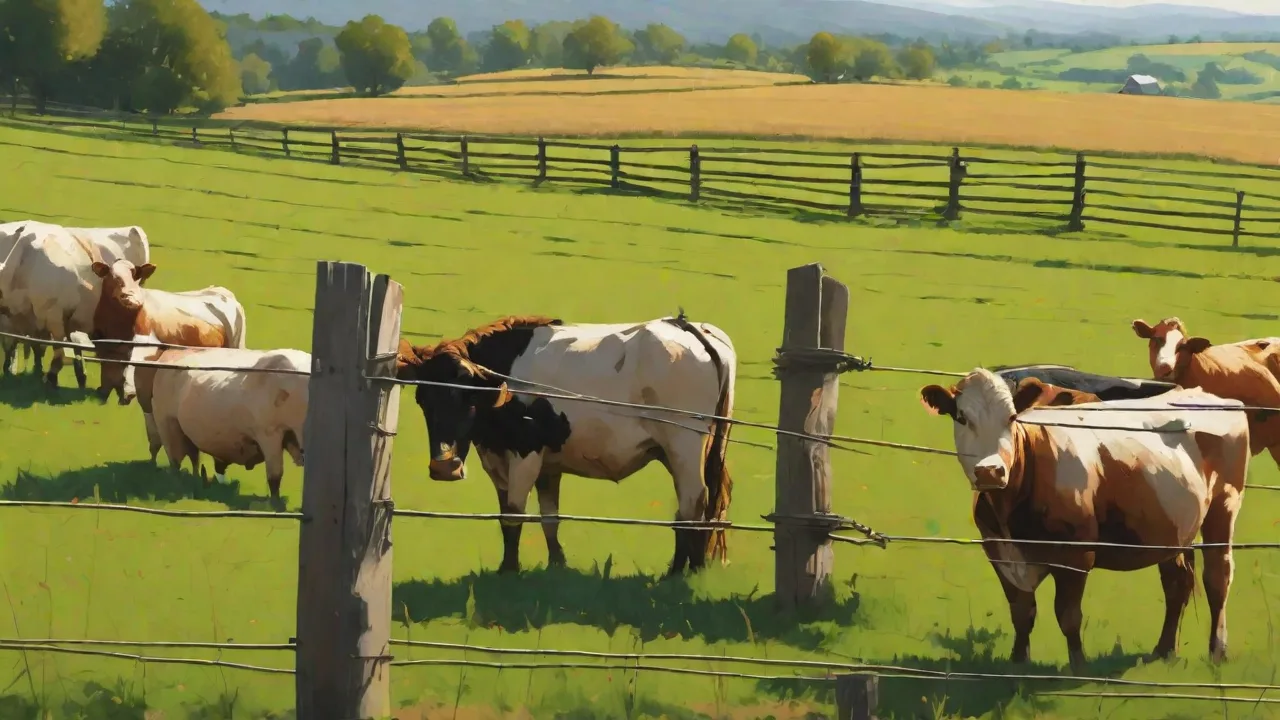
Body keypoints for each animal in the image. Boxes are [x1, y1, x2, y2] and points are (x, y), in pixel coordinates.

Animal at [137, 346, 310, 505]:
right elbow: (275, 476)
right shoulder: (269, 434)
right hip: (167, 425)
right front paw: (275, 506)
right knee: (175, 462)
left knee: (193, 459)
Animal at [394, 314, 736, 577]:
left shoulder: (526, 453)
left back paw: (678, 573)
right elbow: (547, 518)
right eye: (422, 399)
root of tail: (685, 326)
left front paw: (509, 571)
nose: (444, 466)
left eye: (469, 398)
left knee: (692, 503)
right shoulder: (528, 462)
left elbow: (513, 514)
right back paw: (695, 568)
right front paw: (555, 565)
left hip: (683, 444)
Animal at [920, 369, 1249, 671]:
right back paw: (1164, 650)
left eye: (1012, 418)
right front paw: (1018, 662)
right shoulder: (999, 552)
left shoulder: (1076, 554)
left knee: (1218, 577)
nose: (990, 471)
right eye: (961, 417)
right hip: (1171, 528)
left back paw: (1217, 651)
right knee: (1177, 583)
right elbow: (1021, 612)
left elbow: (1068, 615)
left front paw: (1078, 665)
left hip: (1224, 505)